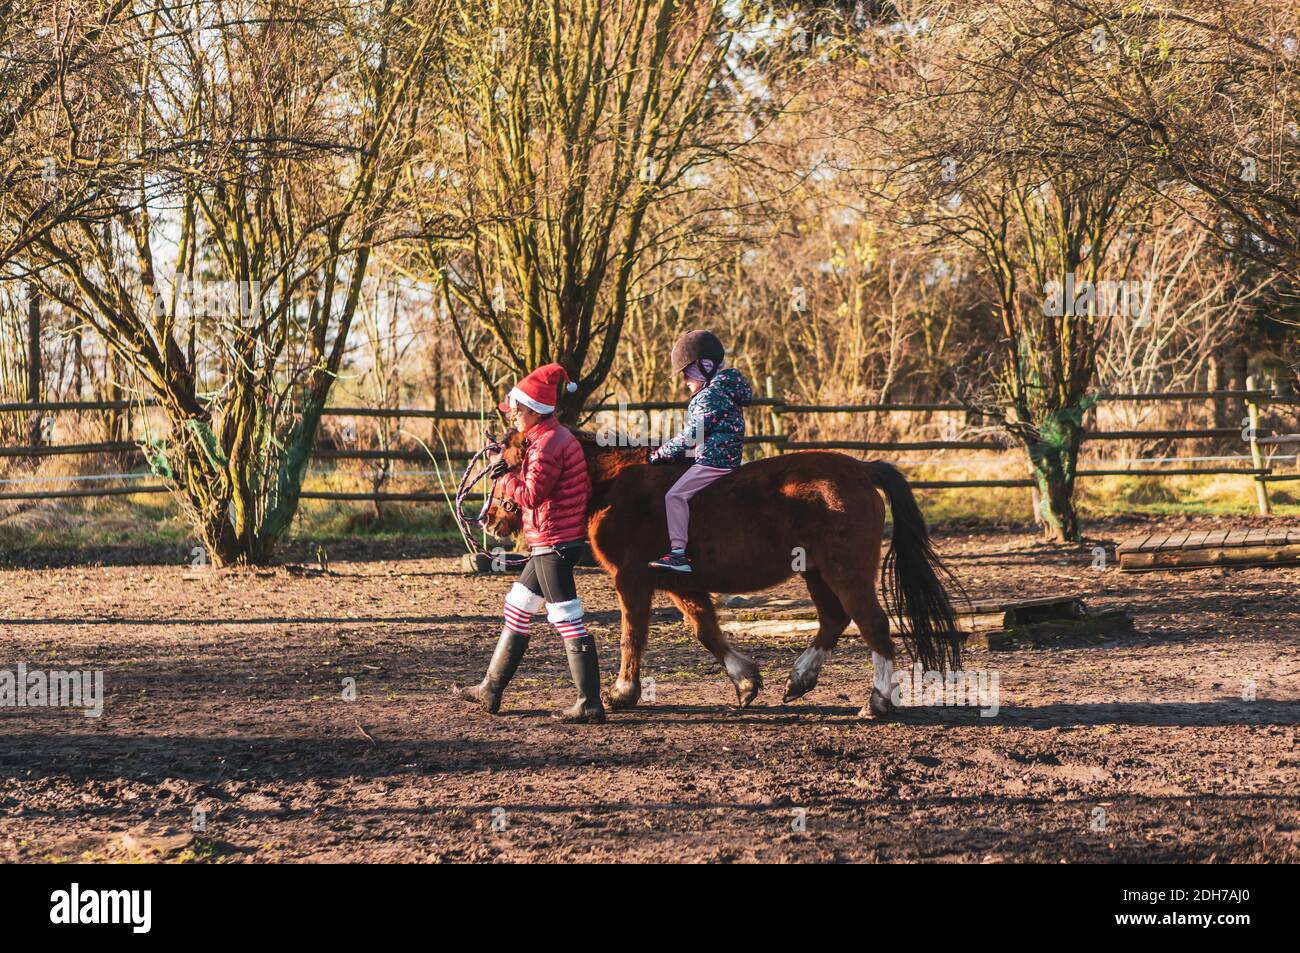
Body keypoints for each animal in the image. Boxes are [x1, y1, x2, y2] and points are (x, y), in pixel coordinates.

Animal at [486, 428, 964, 717]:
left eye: (504, 466)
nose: (490, 519)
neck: (613, 484)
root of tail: (861, 469)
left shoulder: (632, 580)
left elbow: (632, 635)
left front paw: (622, 693)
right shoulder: (680, 583)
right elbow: (706, 631)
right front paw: (746, 682)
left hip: (844, 573)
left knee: (873, 626)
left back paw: (877, 702)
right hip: (816, 573)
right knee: (834, 620)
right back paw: (800, 679)